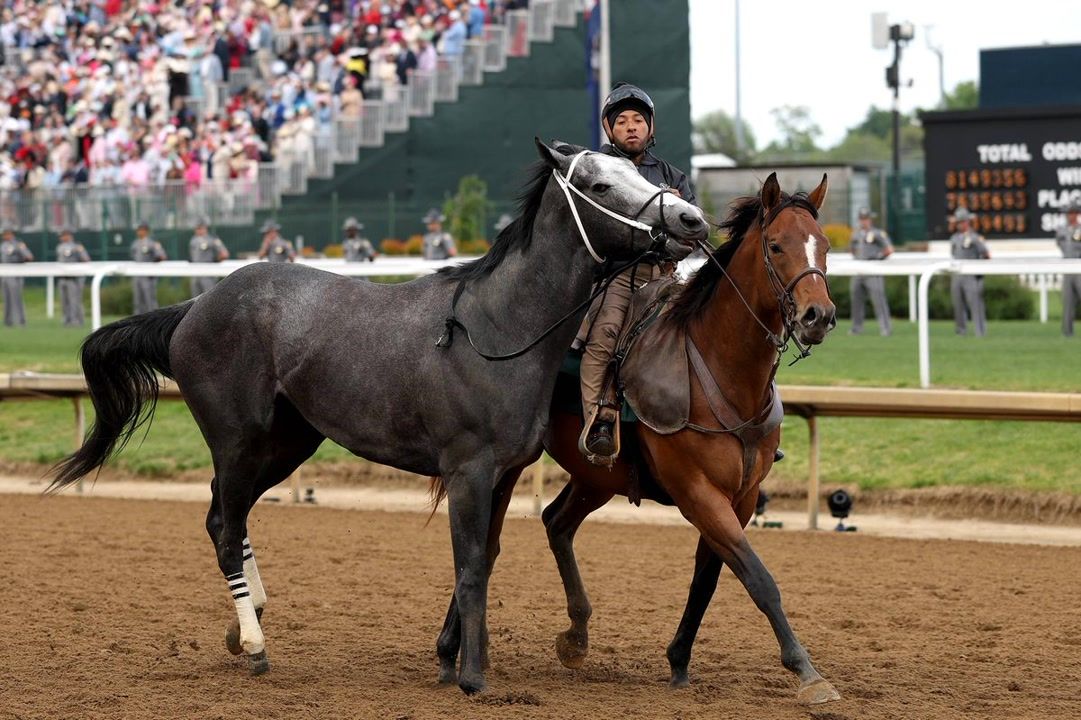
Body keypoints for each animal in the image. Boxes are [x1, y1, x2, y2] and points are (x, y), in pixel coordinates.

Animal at [47, 140, 709, 695]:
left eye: (643, 173)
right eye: (599, 183)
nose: (691, 221)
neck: (496, 328)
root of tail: (194, 305)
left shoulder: (505, 474)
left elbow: (488, 556)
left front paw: (456, 658)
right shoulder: (468, 470)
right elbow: (470, 564)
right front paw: (471, 675)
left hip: (286, 444)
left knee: (227, 517)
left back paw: (248, 619)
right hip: (237, 440)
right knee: (223, 527)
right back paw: (256, 644)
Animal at [539, 173, 842, 705]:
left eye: (823, 246)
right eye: (776, 245)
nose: (817, 316)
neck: (720, 371)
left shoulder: (741, 497)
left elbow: (709, 577)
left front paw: (678, 660)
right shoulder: (698, 491)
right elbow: (758, 578)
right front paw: (807, 671)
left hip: (596, 477)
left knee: (556, 523)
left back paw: (575, 638)